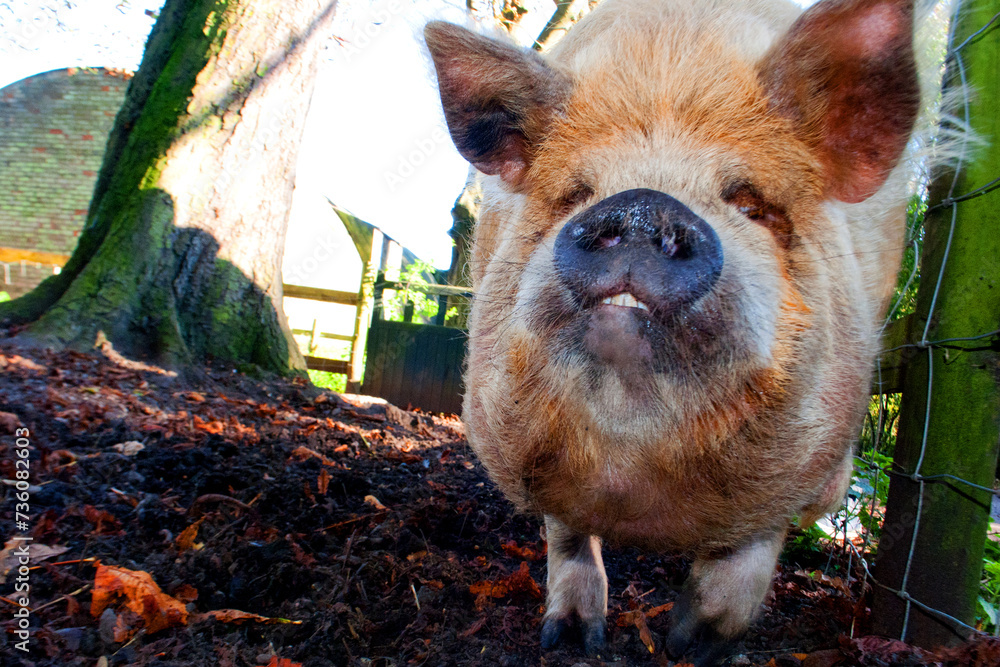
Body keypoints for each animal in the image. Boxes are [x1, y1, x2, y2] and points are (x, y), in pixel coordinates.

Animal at [425, 0, 929, 663]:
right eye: (575, 194)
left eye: (749, 204)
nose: (644, 205)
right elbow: (568, 539)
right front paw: (571, 639)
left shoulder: (808, 469)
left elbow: (748, 559)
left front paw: (690, 647)